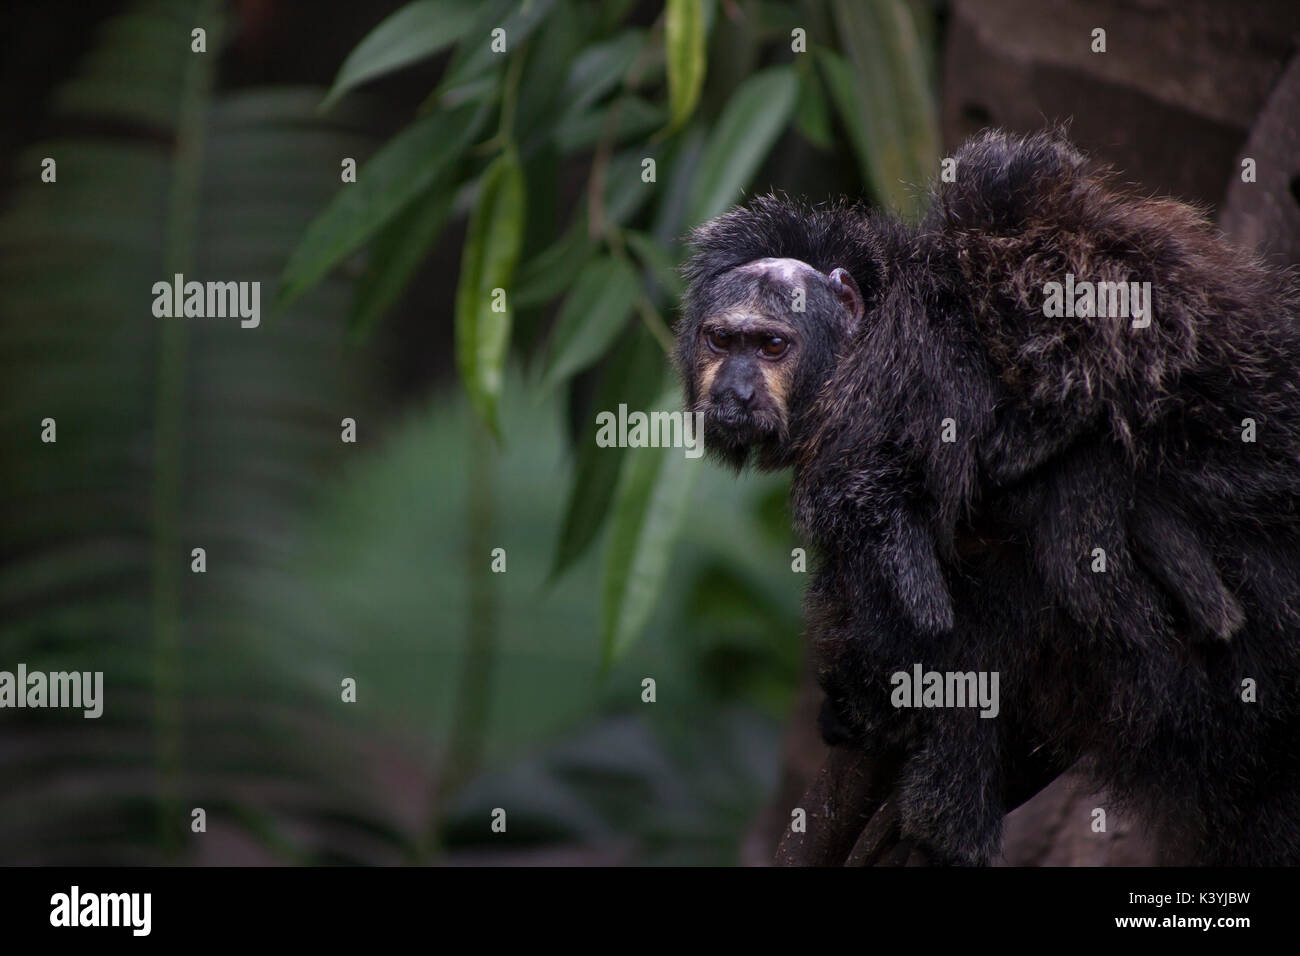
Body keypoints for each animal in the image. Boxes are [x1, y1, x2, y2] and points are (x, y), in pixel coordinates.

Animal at [675, 128, 1300, 866]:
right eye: (723, 340)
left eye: (772, 345)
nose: (736, 390)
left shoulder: (872, 421)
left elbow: (922, 616)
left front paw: (872, 706)